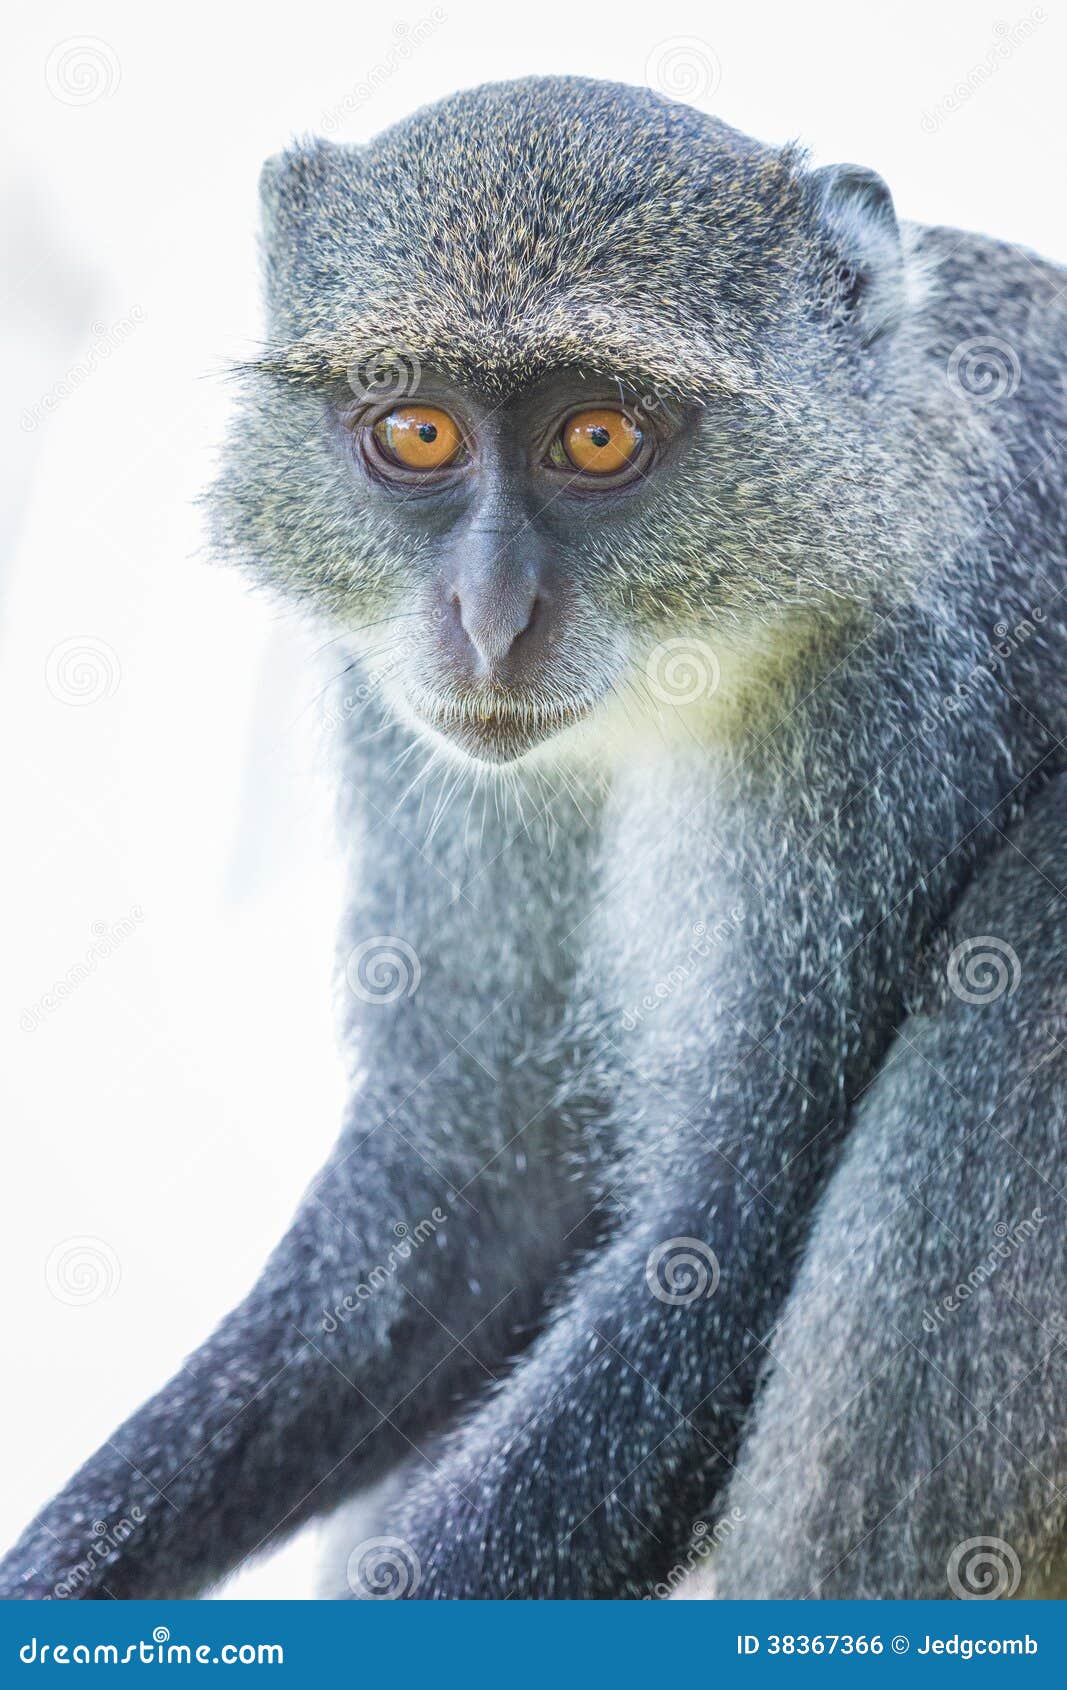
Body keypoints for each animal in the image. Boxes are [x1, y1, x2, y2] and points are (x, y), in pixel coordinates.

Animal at [3, 73, 1067, 1603]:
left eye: (598, 438)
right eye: (417, 434)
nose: (488, 617)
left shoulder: (912, 694)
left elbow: (719, 1237)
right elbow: (478, 1191)